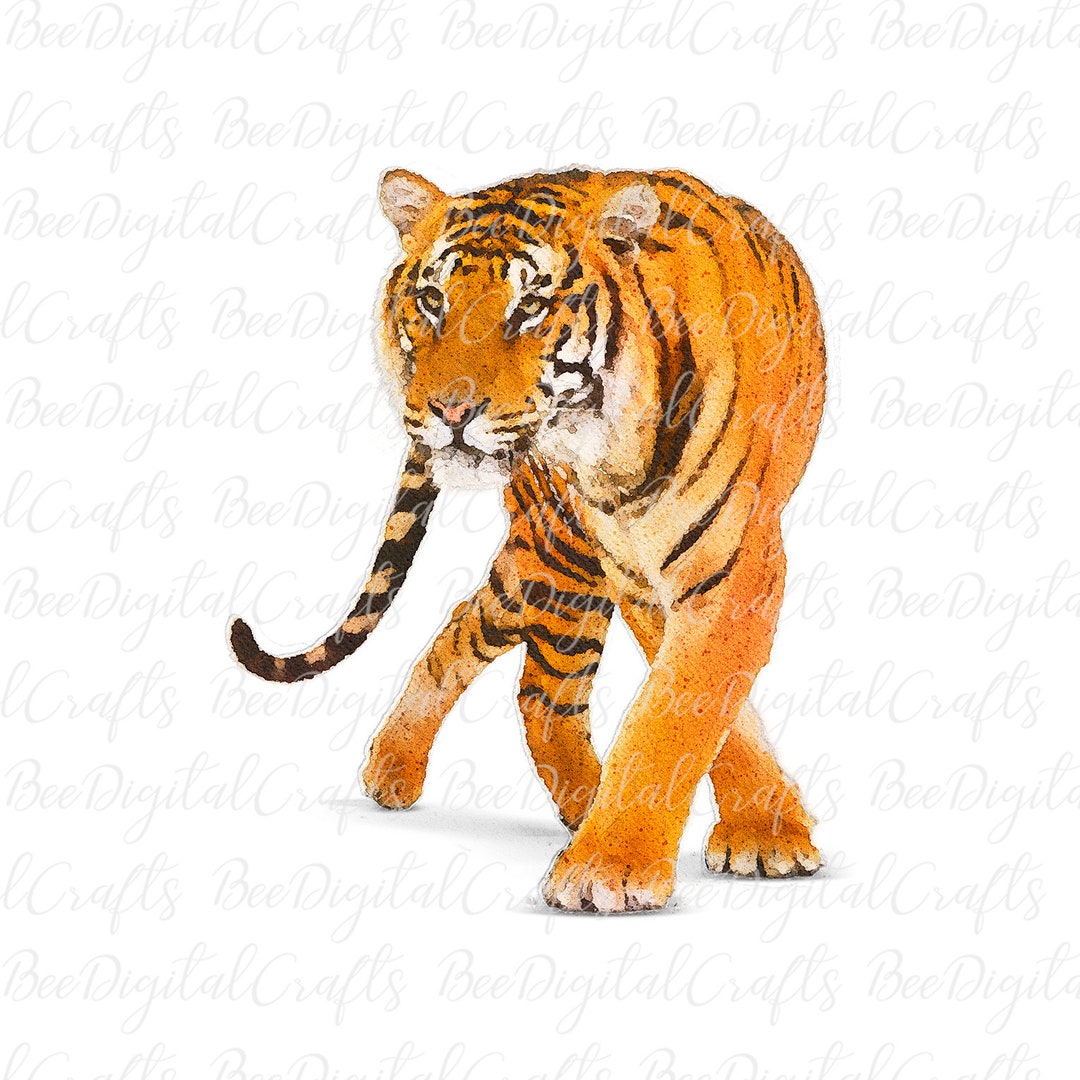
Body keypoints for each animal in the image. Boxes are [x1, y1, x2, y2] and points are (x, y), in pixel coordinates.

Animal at [229, 166, 827, 913]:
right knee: (528, 685)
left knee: (490, 648)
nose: (448, 410)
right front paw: (620, 861)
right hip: (560, 559)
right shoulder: (635, 575)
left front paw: (722, 840)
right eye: (432, 300)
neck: (610, 452)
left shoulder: (732, 569)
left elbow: (683, 707)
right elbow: (688, 707)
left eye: (532, 306)